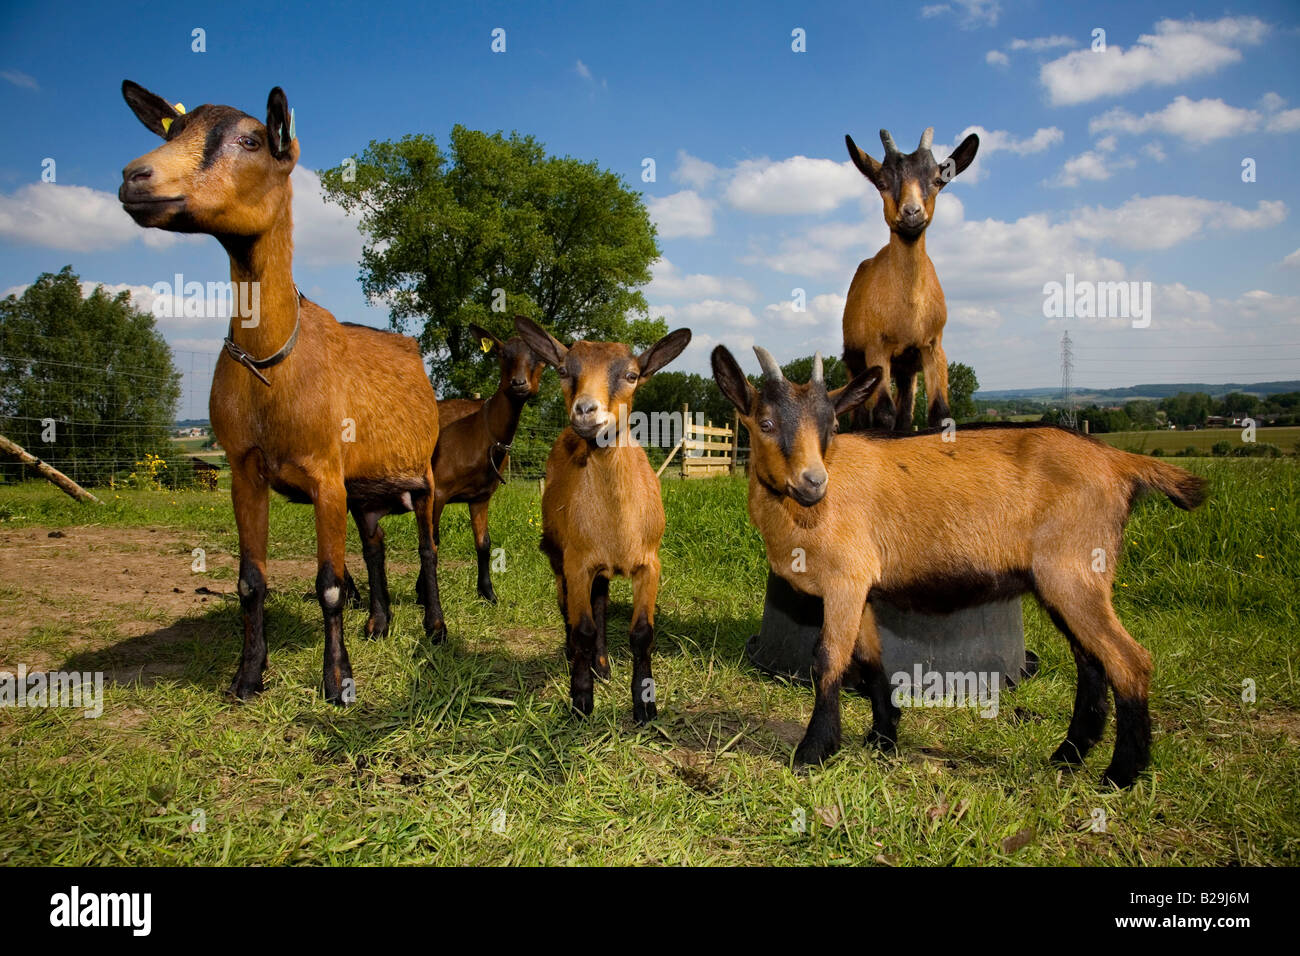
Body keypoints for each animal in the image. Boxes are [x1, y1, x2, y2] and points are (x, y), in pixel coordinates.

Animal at [119, 80, 442, 705]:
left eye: (251, 140)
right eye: (173, 131)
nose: (134, 176)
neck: (271, 367)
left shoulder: (324, 472)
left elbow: (331, 585)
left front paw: (337, 682)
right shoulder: (246, 468)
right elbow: (251, 581)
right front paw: (248, 677)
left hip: (423, 474)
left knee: (426, 548)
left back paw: (435, 630)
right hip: (364, 488)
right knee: (375, 547)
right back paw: (379, 623)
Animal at [512, 315, 691, 723]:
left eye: (631, 374)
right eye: (564, 370)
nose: (585, 411)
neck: (618, 525)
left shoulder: (649, 563)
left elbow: (641, 633)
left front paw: (644, 704)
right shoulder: (577, 562)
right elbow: (581, 627)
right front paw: (581, 700)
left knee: (601, 603)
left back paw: (603, 665)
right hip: (560, 555)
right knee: (567, 604)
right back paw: (577, 659)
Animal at [711, 344, 1207, 788]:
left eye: (831, 425)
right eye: (766, 423)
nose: (812, 483)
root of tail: (1120, 463)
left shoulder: (845, 580)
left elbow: (829, 658)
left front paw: (814, 750)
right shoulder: (862, 588)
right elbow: (871, 658)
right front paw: (882, 737)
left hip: (1074, 572)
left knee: (1129, 660)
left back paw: (1121, 773)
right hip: (1065, 583)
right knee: (1091, 663)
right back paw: (1067, 756)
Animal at [841, 127, 978, 431]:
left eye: (938, 180)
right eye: (881, 182)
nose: (912, 212)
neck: (909, 310)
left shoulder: (932, 347)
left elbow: (940, 413)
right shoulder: (876, 348)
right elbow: (883, 414)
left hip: (906, 370)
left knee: (904, 413)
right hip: (855, 362)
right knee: (860, 417)